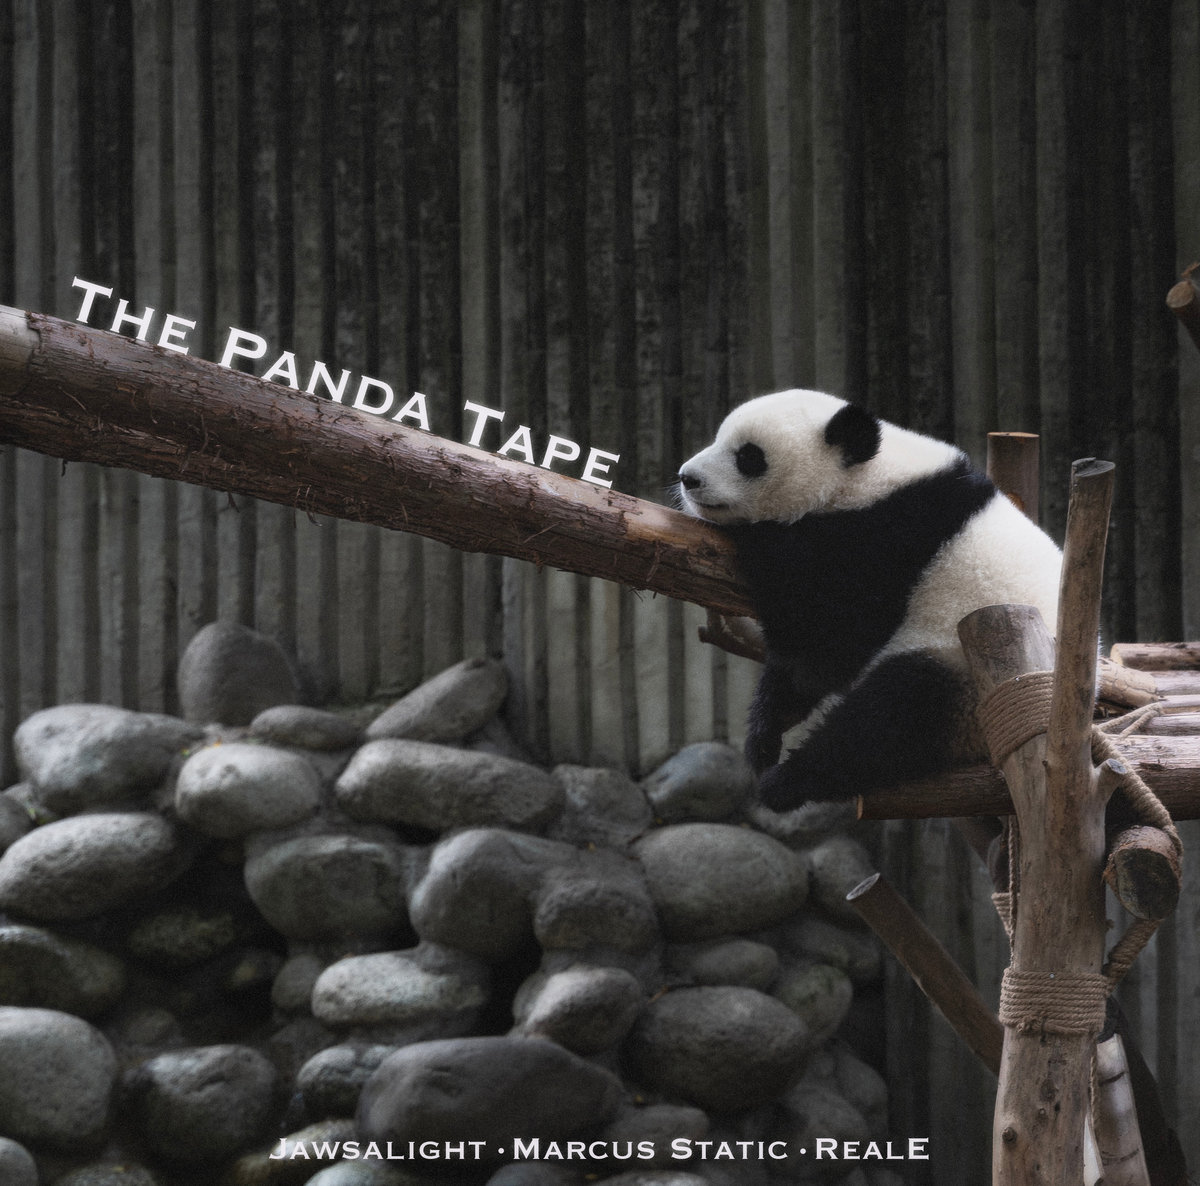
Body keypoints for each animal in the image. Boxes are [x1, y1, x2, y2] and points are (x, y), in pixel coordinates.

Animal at [676, 388, 1062, 812]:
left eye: (748, 456)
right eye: (718, 438)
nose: (688, 478)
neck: (869, 478)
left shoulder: (895, 539)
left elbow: (829, 639)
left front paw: (760, 537)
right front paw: (764, 734)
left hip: (960, 669)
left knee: (892, 716)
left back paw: (788, 782)